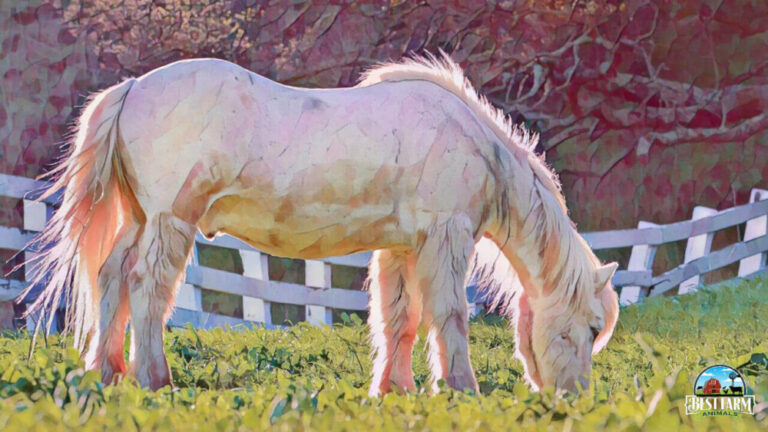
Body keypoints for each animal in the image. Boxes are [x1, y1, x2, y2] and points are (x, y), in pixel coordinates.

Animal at [22, 52, 619, 394]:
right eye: (592, 328)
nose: (575, 401)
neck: (472, 143)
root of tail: (132, 88)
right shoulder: (445, 240)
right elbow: (449, 316)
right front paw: (460, 389)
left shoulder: (403, 248)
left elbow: (400, 319)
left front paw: (395, 391)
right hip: (170, 222)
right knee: (146, 287)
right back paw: (153, 380)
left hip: (141, 220)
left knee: (111, 278)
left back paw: (106, 374)